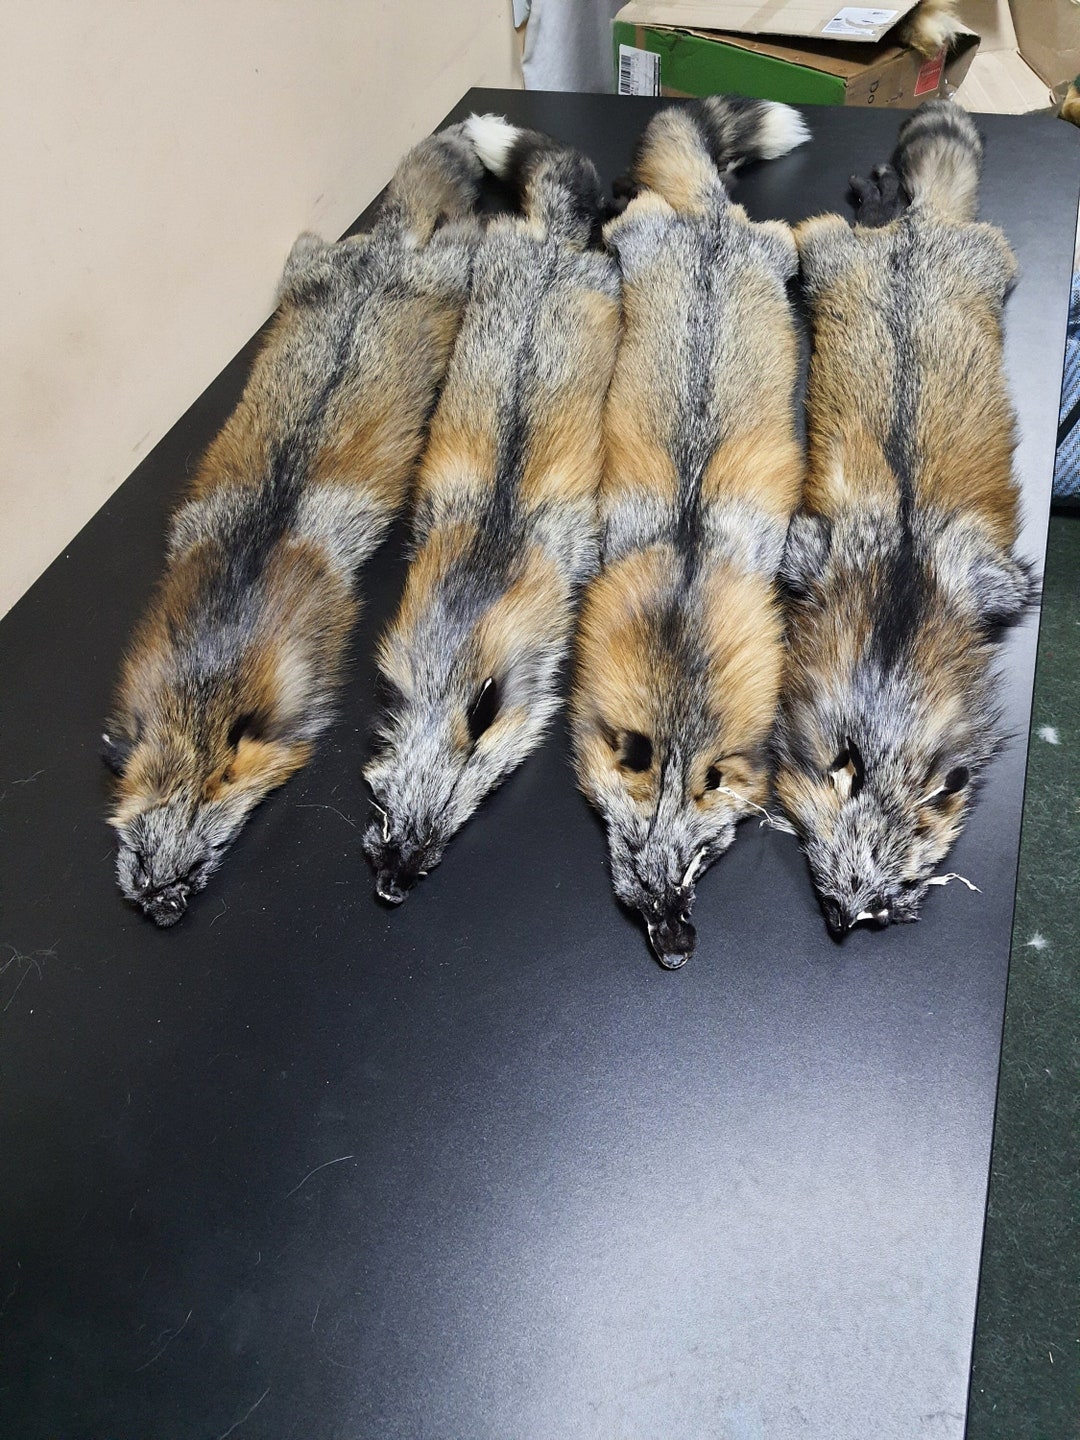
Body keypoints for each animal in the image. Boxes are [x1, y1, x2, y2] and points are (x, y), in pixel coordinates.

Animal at [103, 124, 488, 926]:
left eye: (203, 860)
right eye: (140, 852)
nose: (160, 909)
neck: (206, 687)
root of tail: (385, 251)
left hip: (448, 271)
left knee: (464, 233)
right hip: (309, 264)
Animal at [569, 96, 810, 968]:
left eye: (702, 857)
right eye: (633, 849)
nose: (675, 949)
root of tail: (706, 225)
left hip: (769, 251)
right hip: (655, 243)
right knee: (638, 212)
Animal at [774, 101, 1033, 936]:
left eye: (891, 892)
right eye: (837, 881)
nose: (842, 923)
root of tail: (917, 236)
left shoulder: (979, 578)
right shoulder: (823, 547)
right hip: (840, 249)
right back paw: (880, 196)